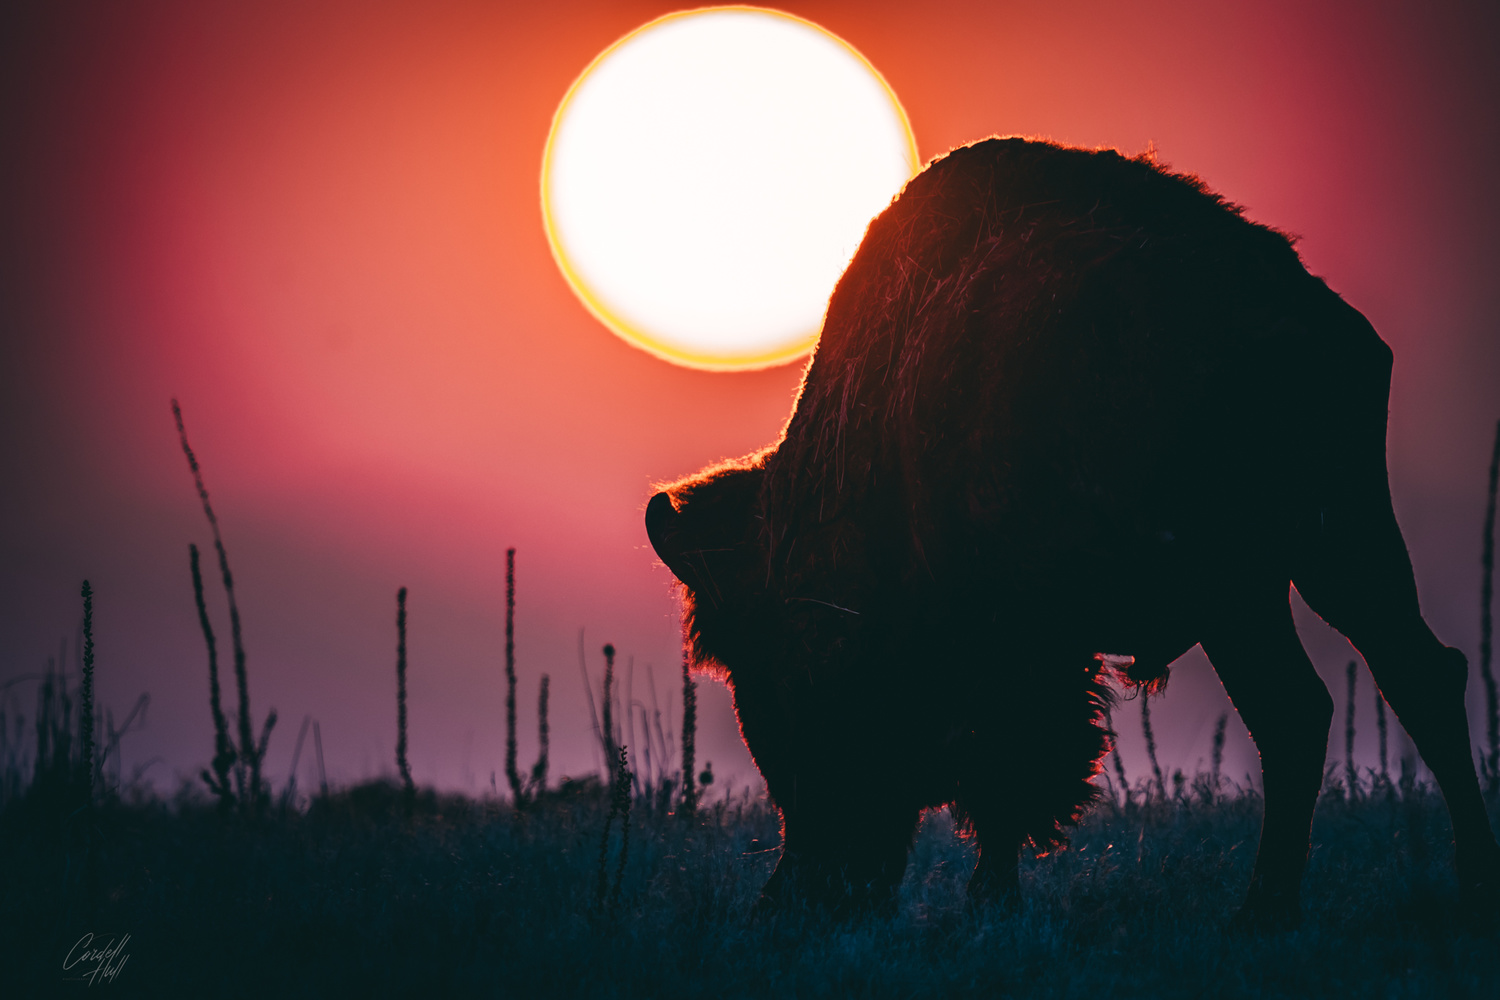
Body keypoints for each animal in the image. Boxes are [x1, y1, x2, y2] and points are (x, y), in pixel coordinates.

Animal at [645, 137, 1500, 925]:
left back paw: (1262, 912)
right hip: (1337, 547)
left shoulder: (1021, 645)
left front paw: (991, 904)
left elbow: (1008, 775)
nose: (800, 894)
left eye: (782, 678)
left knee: (1296, 709)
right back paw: (1462, 889)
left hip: (1242, 587)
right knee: (1419, 675)